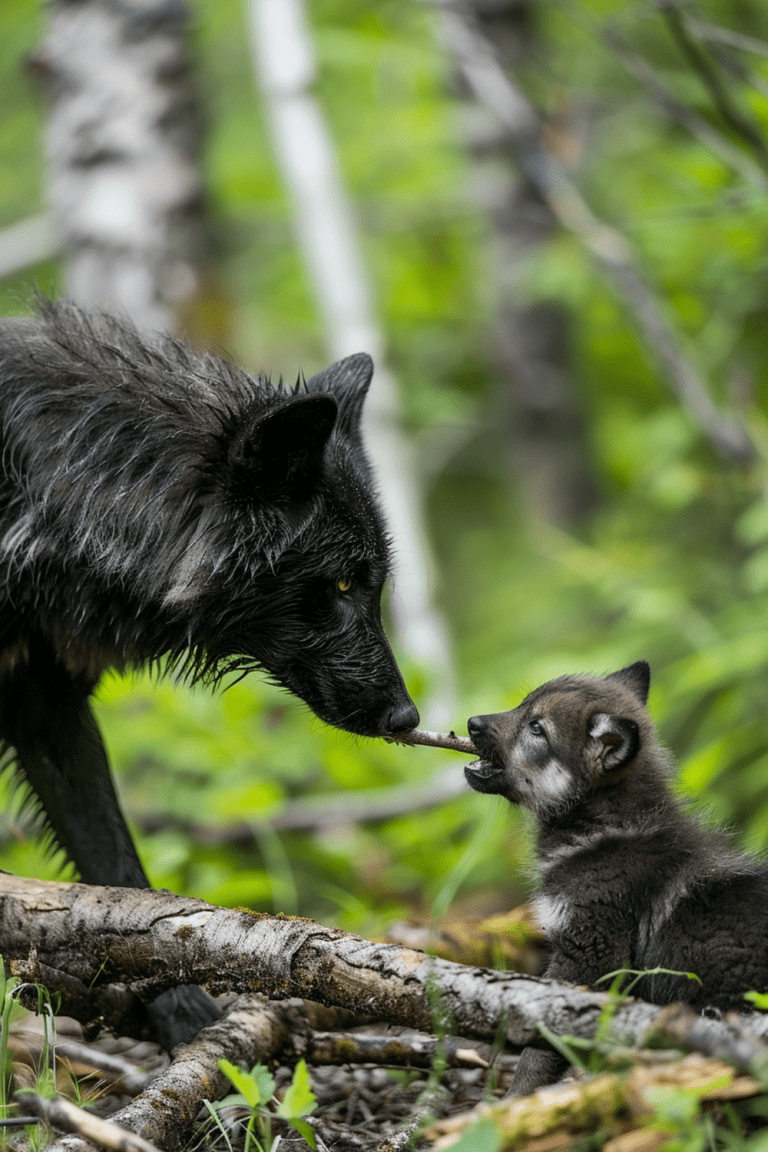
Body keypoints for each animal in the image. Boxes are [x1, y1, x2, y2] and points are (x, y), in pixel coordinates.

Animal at [0, 299, 418, 1047]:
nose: (408, 718)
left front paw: (187, 1023)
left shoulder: (46, 706)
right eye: (343, 582)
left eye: (374, 585)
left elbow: (120, 889)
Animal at [466, 662, 768, 1095]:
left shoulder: (591, 951)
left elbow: (541, 1046)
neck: (603, 829)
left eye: (537, 728)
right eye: (523, 704)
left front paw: (515, 1099)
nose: (472, 723)